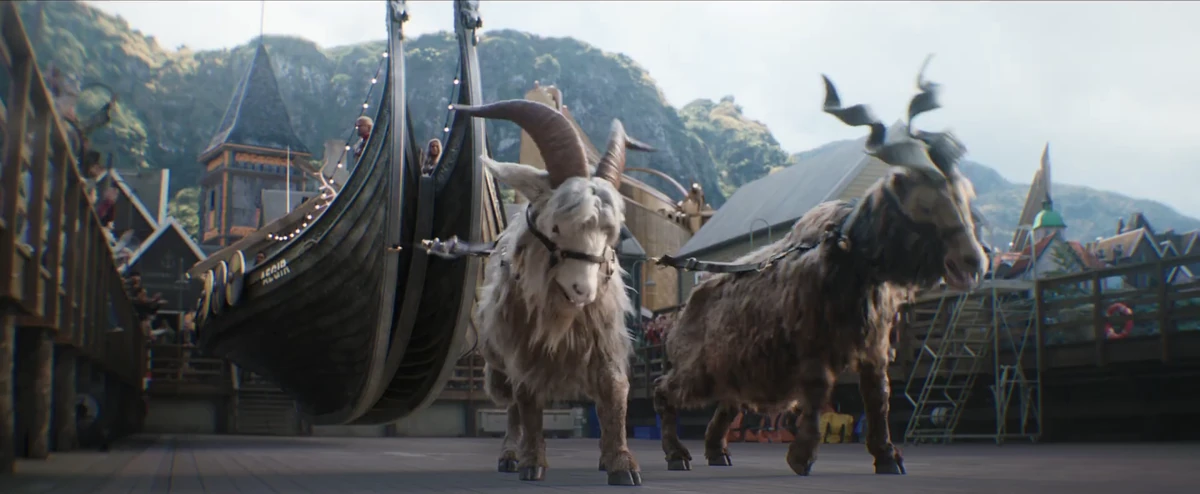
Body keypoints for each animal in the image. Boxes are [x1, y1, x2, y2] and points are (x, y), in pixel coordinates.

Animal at [456, 99, 654, 486]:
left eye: (610, 234)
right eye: (557, 226)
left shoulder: (604, 340)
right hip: (498, 361)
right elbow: (528, 401)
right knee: (512, 407)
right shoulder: (523, 350)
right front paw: (532, 462)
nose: (583, 290)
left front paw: (622, 463)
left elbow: (614, 393)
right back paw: (510, 455)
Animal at [653, 59, 988, 477]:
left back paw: (716, 452)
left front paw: (887, 456)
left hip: (732, 369)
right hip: (696, 367)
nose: (974, 260)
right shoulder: (811, 344)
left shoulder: (874, 346)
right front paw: (802, 455)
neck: (848, 256)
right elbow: (816, 392)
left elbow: (878, 397)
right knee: (663, 391)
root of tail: (680, 314)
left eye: (963, 196)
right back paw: (676, 453)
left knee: (726, 405)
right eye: (925, 202)